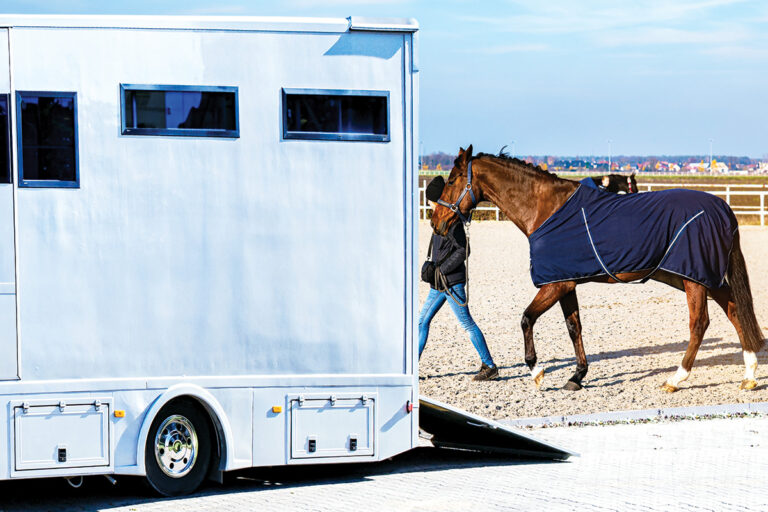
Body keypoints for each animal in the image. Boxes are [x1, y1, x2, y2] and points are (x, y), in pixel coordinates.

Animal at [431, 145, 764, 392]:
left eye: (451, 180)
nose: (437, 222)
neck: (545, 208)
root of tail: (722, 207)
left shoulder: (554, 285)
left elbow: (526, 319)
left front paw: (537, 371)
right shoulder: (566, 282)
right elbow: (573, 327)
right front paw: (577, 375)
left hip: (694, 279)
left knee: (699, 324)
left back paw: (676, 378)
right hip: (695, 276)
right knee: (734, 309)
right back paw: (749, 374)